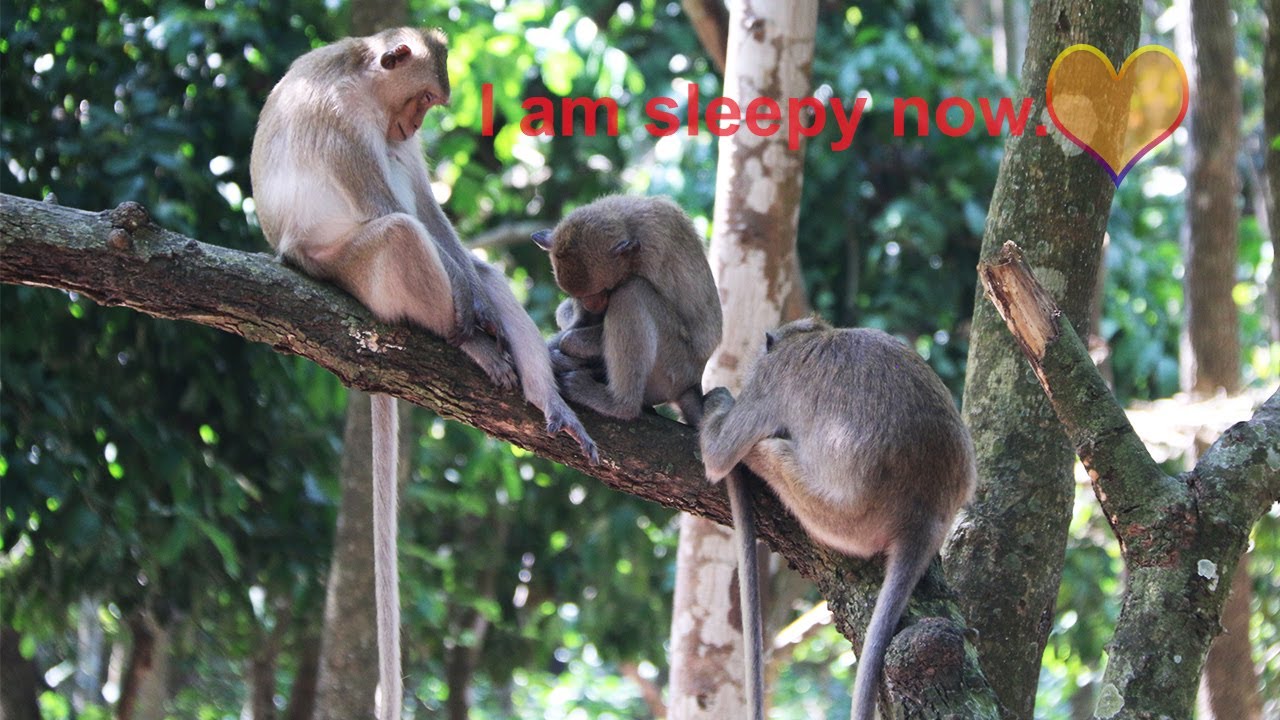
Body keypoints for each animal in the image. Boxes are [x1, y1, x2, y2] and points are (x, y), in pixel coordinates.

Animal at [249, 27, 596, 720]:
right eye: (425, 99)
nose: (411, 124)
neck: (364, 81)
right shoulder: (336, 114)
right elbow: (387, 202)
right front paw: (468, 318)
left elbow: (432, 212)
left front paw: (480, 301)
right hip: (352, 269)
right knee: (399, 235)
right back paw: (465, 338)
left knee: (465, 258)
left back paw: (544, 394)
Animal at [532, 195, 768, 720]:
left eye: (600, 290)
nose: (592, 308)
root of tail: (691, 382)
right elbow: (566, 311)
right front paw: (568, 332)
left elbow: (628, 294)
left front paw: (576, 341)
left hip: (669, 366)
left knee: (636, 297)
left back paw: (614, 399)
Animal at [699, 316, 976, 720]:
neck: (812, 336)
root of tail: (925, 512)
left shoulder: (768, 380)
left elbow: (718, 455)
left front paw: (718, 400)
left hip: (835, 515)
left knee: (765, 448)